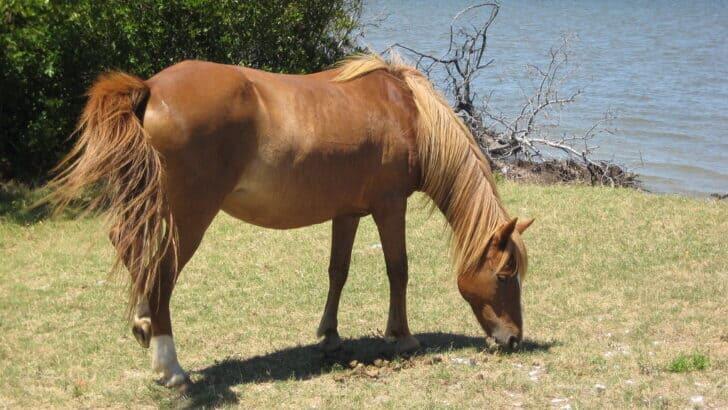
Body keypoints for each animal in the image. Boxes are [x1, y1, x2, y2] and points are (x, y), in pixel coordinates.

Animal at [46, 54, 533, 387]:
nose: (513, 340)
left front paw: (330, 335)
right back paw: (171, 367)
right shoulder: (390, 206)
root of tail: (148, 88)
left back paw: (144, 326)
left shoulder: (348, 212)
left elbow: (339, 271)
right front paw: (403, 337)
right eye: (506, 274)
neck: (407, 111)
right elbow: (398, 269)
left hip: (145, 205)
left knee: (130, 248)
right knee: (162, 270)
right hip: (190, 218)